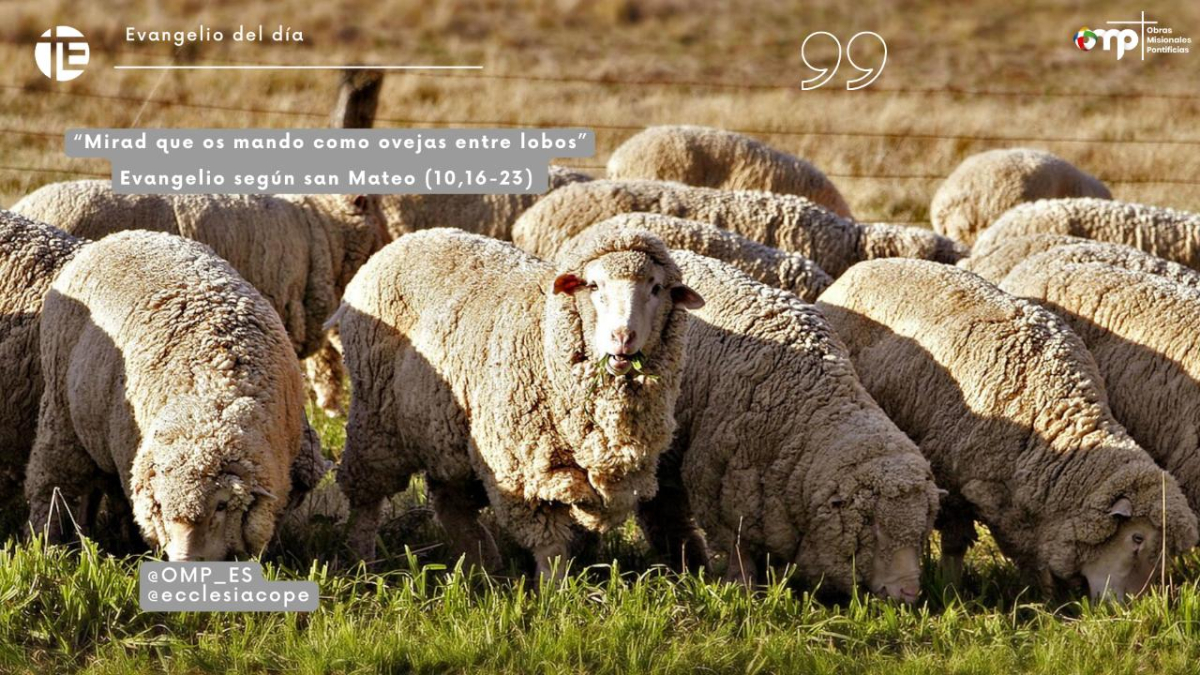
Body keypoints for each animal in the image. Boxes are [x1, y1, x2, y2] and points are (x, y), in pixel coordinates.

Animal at [25, 231, 324, 560]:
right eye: (162, 507)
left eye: (222, 505)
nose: (184, 560)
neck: (213, 397)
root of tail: (118, 235)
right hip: (60, 411)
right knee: (51, 483)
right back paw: (47, 543)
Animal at [333, 227, 703, 579]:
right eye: (594, 285)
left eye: (656, 289)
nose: (623, 338)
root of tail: (405, 240)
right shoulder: (522, 468)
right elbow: (550, 544)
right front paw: (554, 591)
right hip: (375, 417)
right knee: (367, 498)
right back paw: (362, 560)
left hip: (446, 433)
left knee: (451, 502)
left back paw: (483, 565)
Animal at [631, 247, 940, 601]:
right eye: (873, 528)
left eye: (923, 530)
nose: (909, 593)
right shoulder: (719, 485)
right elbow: (738, 547)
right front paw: (743, 588)